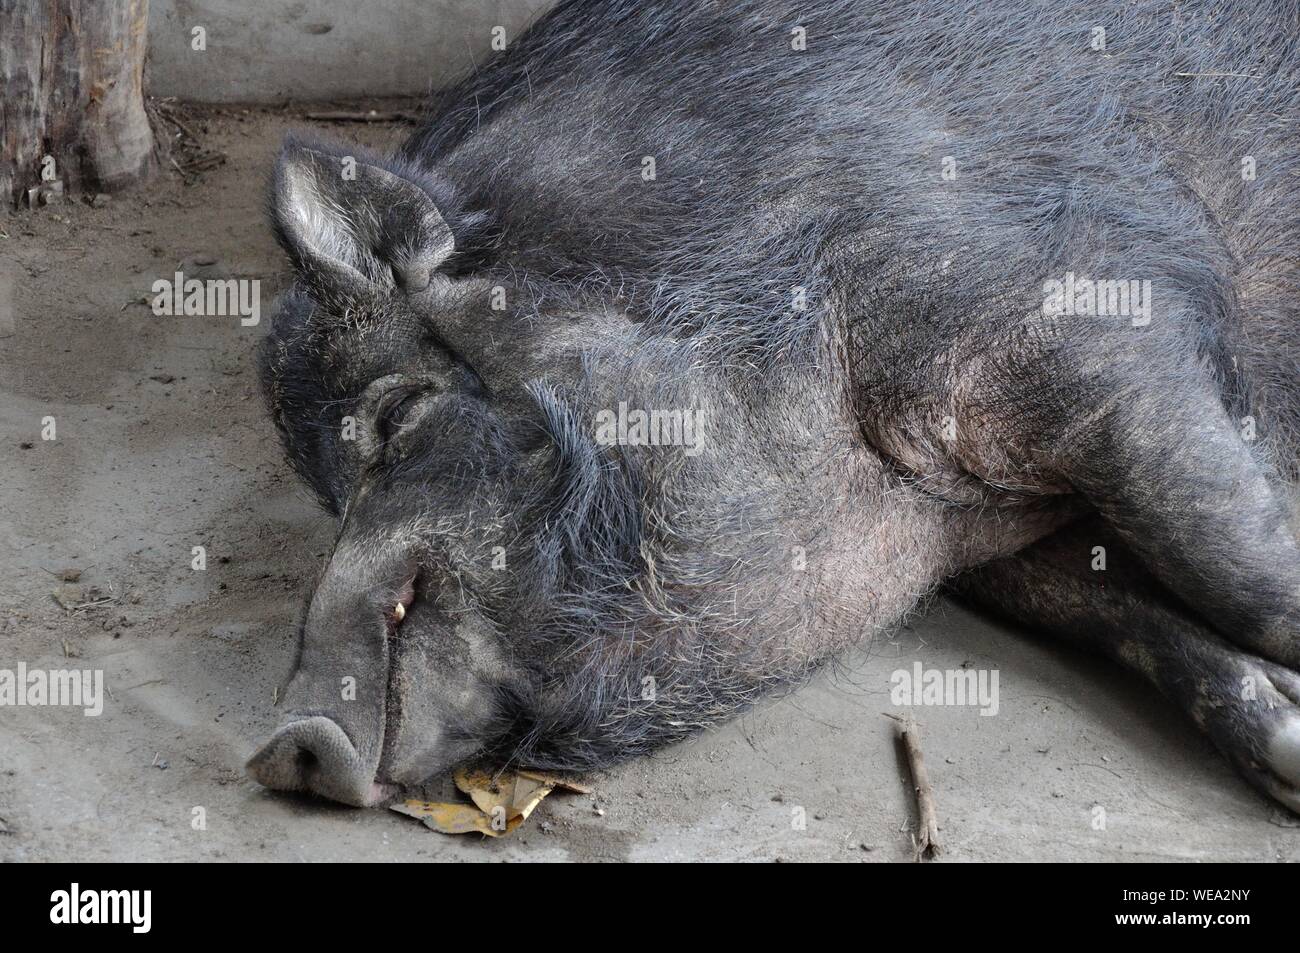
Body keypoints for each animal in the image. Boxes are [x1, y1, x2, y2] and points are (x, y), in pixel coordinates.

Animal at [246, 0, 1300, 812]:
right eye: (325, 496)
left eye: (394, 418)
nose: (281, 746)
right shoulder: (997, 541)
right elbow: (1110, 604)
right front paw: (1288, 737)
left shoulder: (1090, 327)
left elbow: (1236, 566)